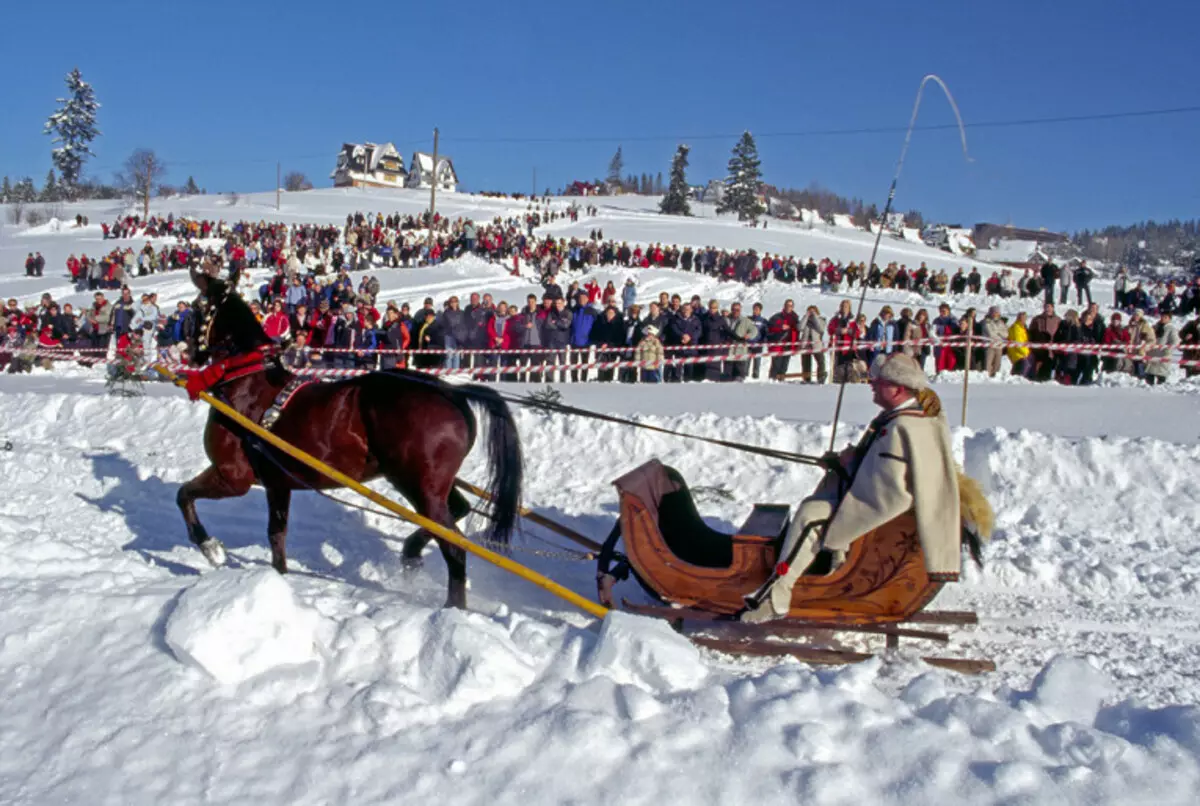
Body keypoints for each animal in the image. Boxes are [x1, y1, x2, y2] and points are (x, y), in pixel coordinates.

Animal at [176, 267, 520, 606]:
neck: (247, 385)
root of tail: (451, 391)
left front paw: (208, 546)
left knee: (454, 545)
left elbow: (184, 495)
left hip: (419, 485)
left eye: (195, 308)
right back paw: (412, 553)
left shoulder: (234, 476)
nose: (187, 350)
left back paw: (452, 608)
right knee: (455, 514)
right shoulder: (277, 483)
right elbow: (276, 535)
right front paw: (278, 577)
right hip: (426, 484)